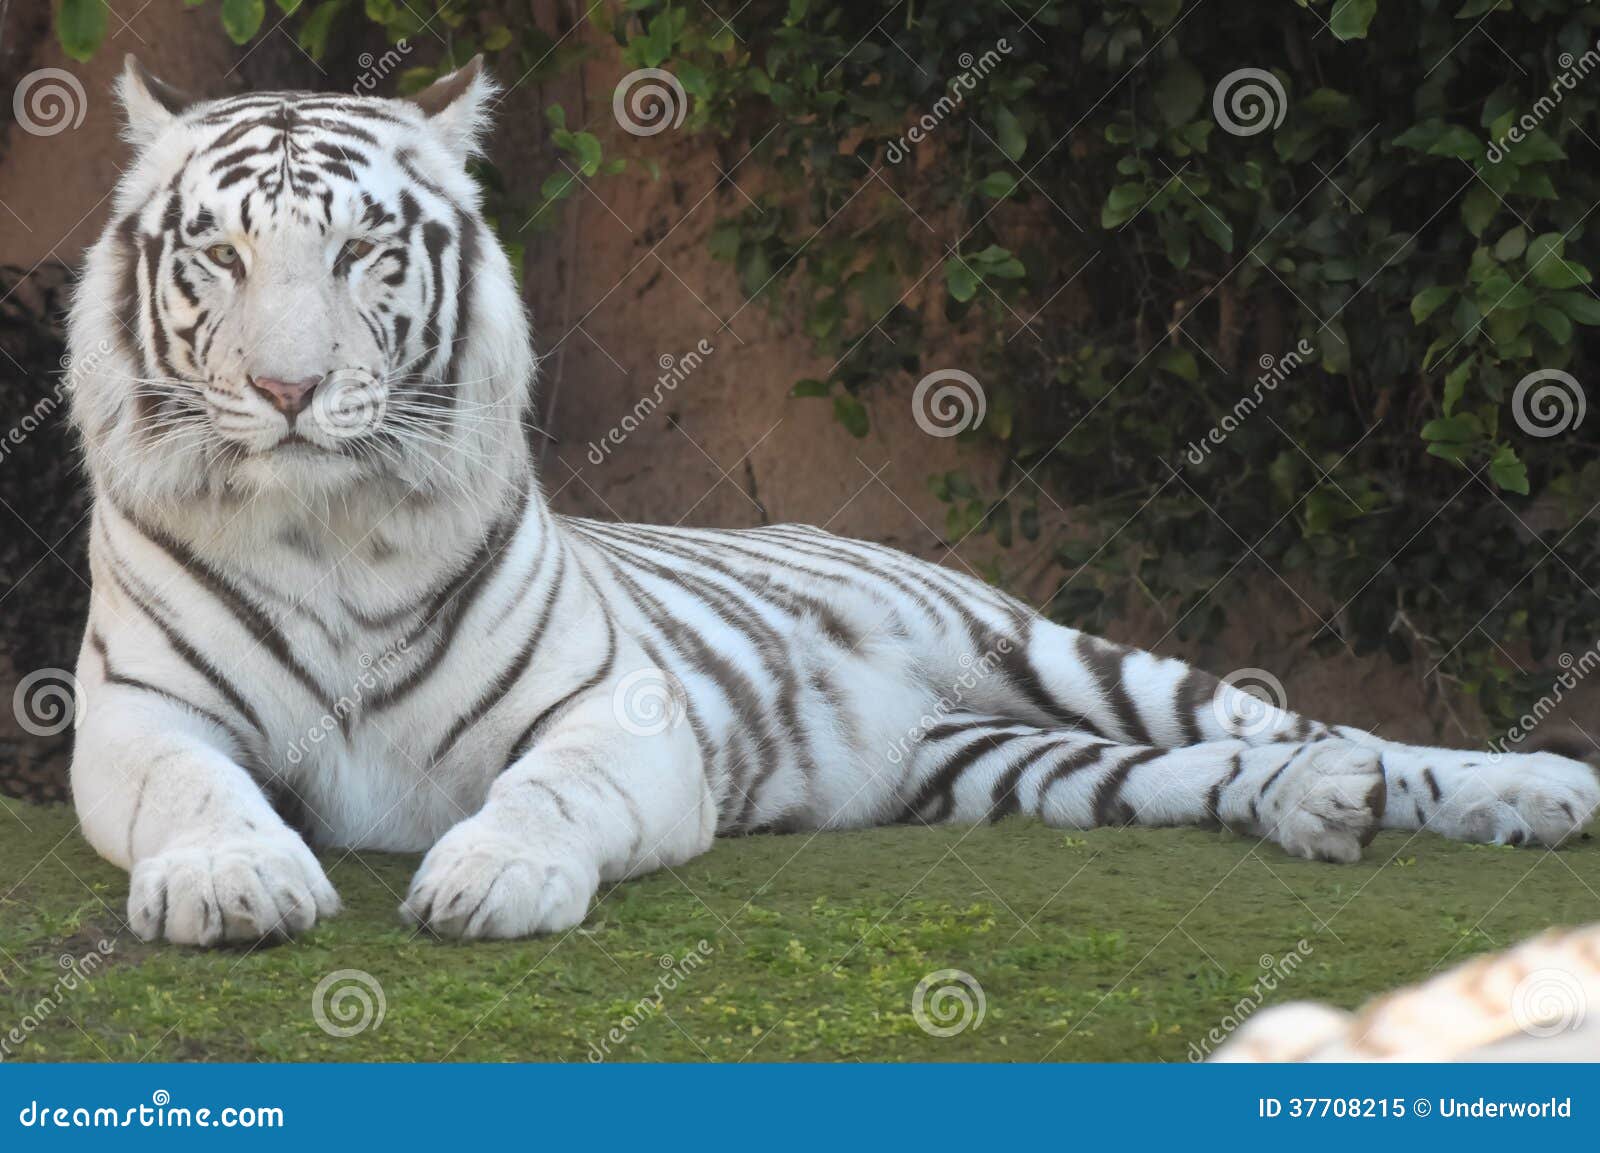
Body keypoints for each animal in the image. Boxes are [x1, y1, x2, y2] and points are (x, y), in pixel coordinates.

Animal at [63, 56, 1599, 946]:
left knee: (1310, 724)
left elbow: (550, 792)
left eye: (364, 252)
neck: (327, 524)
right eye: (218, 255)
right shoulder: (143, 716)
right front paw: (232, 883)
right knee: (1183, 774)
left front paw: (492, 878)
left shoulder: (614, 716)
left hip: (1054, 649)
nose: (287, 388)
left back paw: (1522, 790)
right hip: (988, 763)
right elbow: (198, 788)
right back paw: (1312, 811)